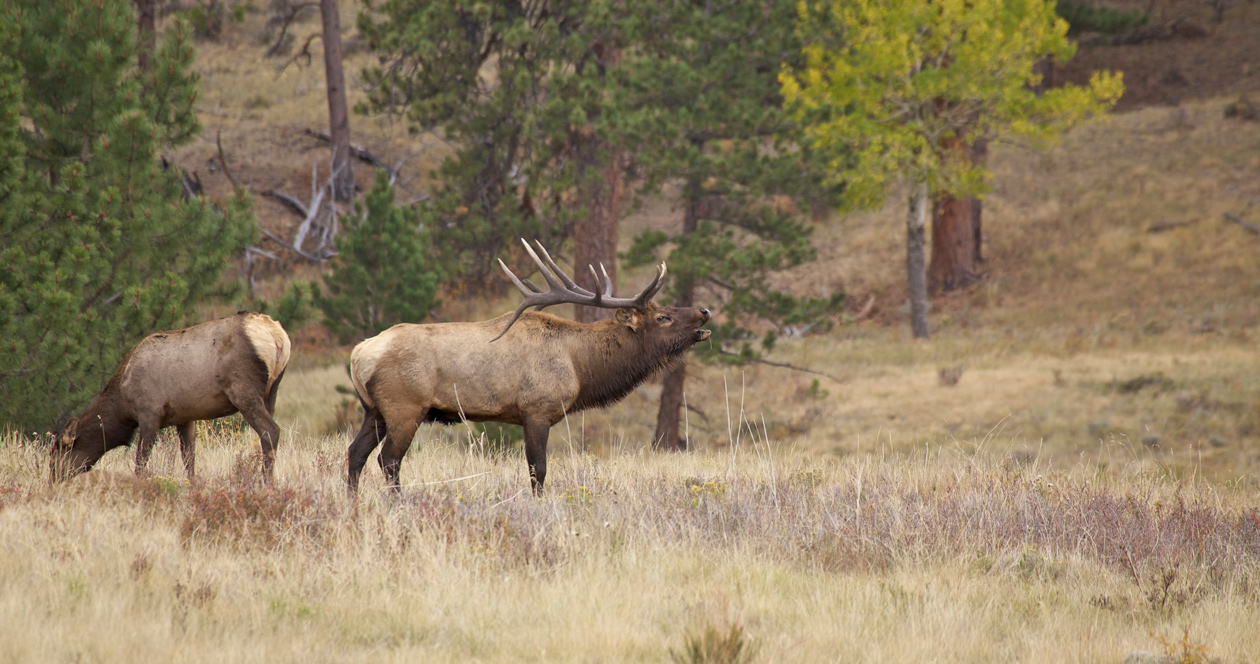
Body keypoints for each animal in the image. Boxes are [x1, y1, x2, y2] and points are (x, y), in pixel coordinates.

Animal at [49, 312, 292, 483]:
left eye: (58, 453)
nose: (52, 482)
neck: (122, 405)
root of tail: (277, 336)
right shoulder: (185, 418)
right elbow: (189, 459)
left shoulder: (149, 412)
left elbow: (141, 461)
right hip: (272, 392)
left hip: (243, 390)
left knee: (271, 431)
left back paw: (266, 484)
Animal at [347, 239, 712, 496]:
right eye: (662, 317)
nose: (704, 311)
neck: (582, 368)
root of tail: (358, 354)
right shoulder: (537, 409)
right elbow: (539, 470)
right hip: (404, 407)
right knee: (388, 459)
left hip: (373, 410)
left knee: (355, 455)